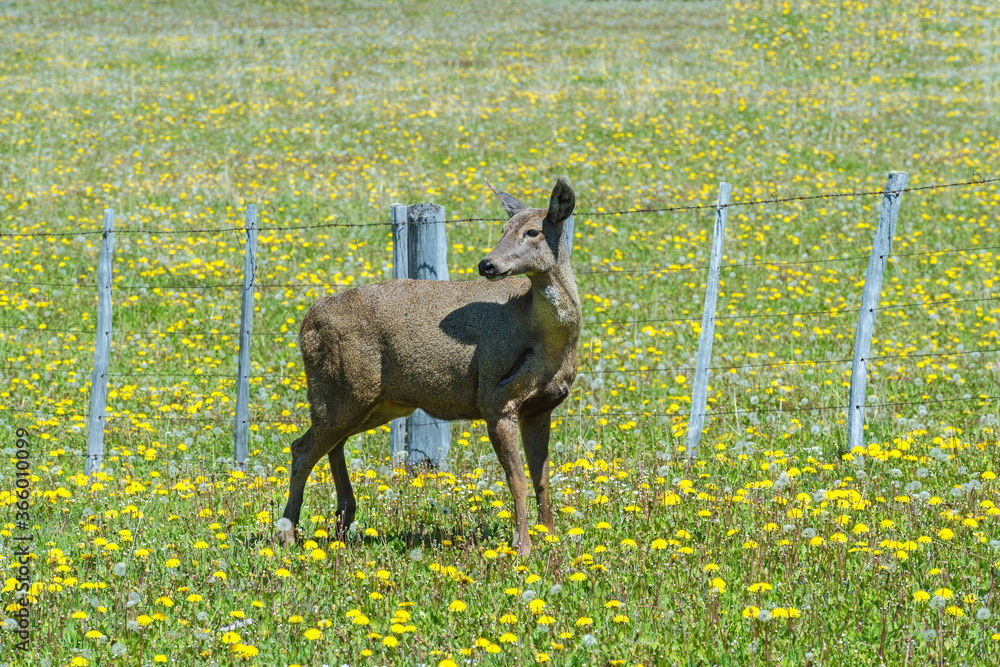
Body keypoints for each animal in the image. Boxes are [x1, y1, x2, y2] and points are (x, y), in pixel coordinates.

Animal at [279, 177, 580, 556]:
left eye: (532, 231)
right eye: (503, 229)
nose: (487, 264)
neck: (544, 337)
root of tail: (308, 320)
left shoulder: (541, 407)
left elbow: (542, 479)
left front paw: (551, 537)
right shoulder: (495, 399)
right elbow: (518, 480)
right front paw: (522, 547)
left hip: (374, 401)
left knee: (331, 444)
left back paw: (343, 520)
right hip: (339, 390)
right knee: (302, 449)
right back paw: (287, 533)